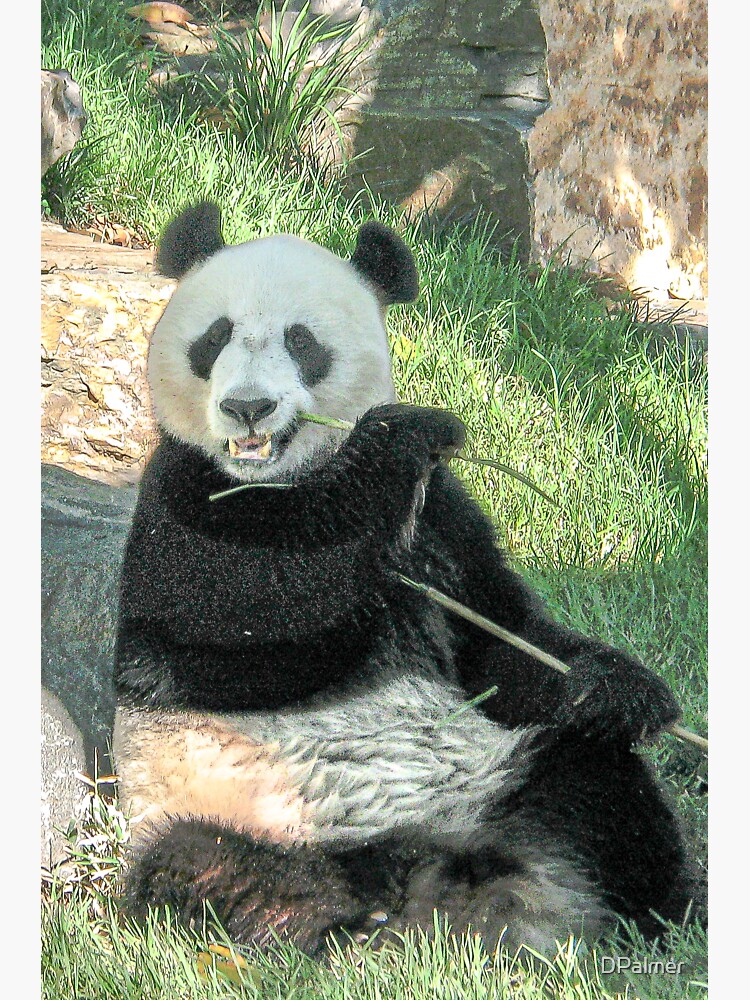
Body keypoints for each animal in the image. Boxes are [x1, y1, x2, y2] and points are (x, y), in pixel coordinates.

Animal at [113, 201, 698, 958]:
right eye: (215, 338)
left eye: (302, 342)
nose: (247, 407)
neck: (286, 480)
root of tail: (434, 863)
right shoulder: (180, 492)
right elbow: (227, 620)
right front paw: (397, 439)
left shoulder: (443, 519)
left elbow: (497, 637)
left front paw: (615, 685)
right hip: (230, 806)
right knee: (204, 866)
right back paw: (342, 918)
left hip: (510, 776)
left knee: (600, 790)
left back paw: (653, 916)